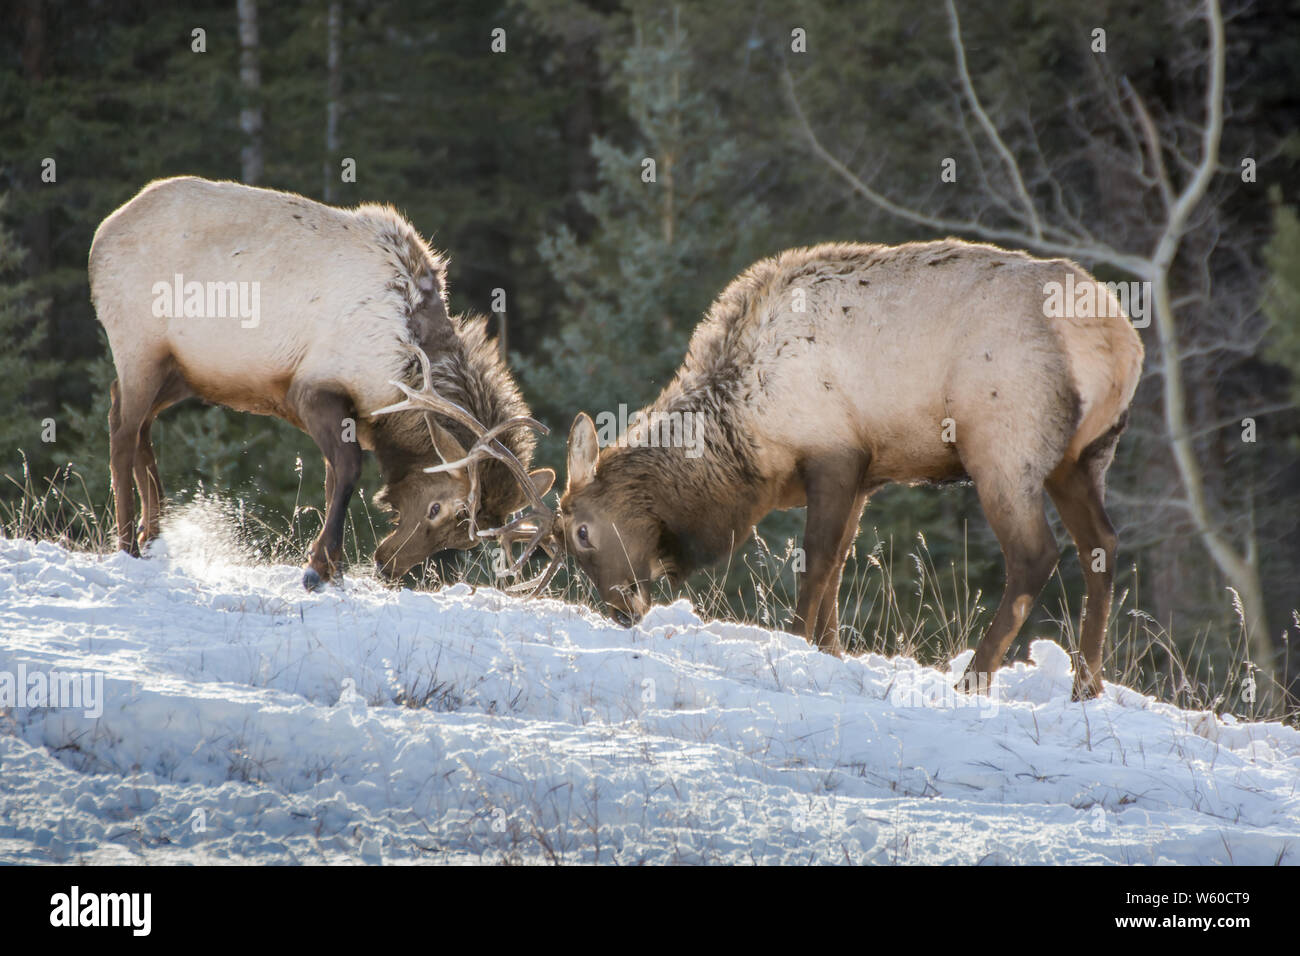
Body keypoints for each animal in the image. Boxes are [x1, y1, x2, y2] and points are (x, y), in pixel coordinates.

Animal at [89, 176, 554, 590]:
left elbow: (332, 481)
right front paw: (318, 568)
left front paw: (334, 567)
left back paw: (154, 534)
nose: (388, 566)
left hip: (179, 371)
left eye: (465, 538)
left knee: (135, 422)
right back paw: (128, 543)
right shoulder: (313, 390)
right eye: (437, 507)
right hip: (139, 346)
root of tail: (100, 236)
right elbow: (347, 471)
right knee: (122, 429)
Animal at [506, 239, 1143, 700]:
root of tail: (1119, 343)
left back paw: (973, 680)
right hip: (1083, 457)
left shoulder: (833, 452)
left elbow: (814, 564)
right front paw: (830, 653)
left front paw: (796, 646)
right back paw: (1086, 687)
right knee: (1102, 545)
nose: (621, 608)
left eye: (582, 532)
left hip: (1005, 445)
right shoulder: (865, 471)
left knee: (1035, 556)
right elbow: (838, 566)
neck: (745, 439)